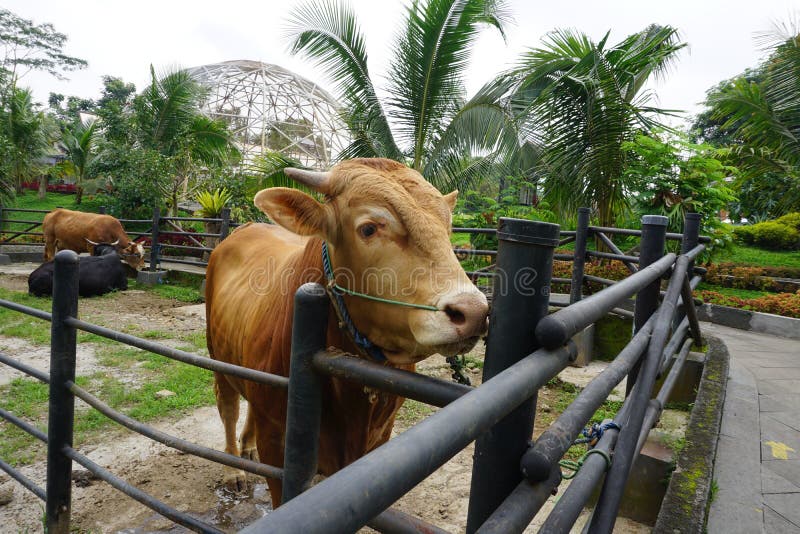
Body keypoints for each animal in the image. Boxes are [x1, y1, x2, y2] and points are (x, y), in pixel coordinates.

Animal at [206, 158, 490, 506]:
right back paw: (233, 468)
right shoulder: (276, 447)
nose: (473, 312)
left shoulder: (380, 438)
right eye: (369, 228)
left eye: (447, 230)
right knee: (229, 406)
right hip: (217, 356)